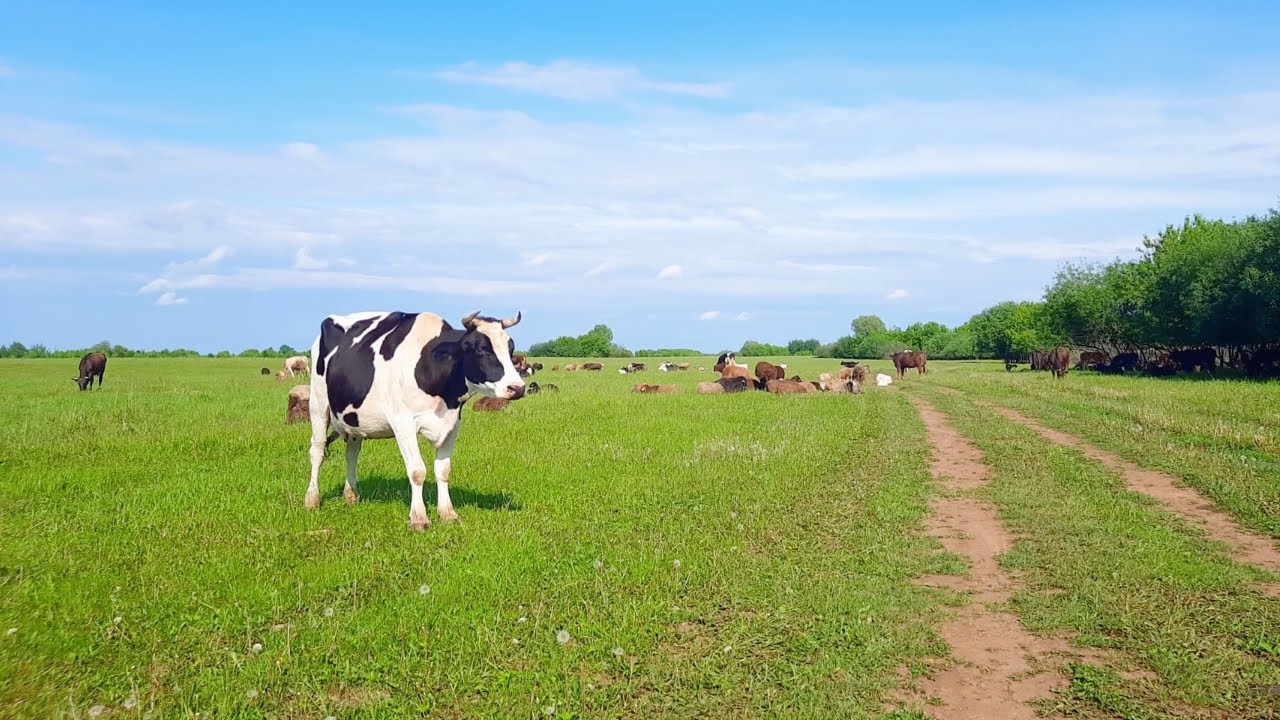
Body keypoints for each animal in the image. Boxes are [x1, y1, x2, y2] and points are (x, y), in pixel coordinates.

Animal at [303, 309, 525, 531]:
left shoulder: (452, 424)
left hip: (354, 420)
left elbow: (443, 470)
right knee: (317, 451)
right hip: (318, 403)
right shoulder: (403, 423)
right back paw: (312, 499)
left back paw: (350, 495)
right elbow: (417, 470)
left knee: (352, 453)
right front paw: (419, 518)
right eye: (481, 349)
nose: (518, 388)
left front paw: (448, 513)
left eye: (511, 348)